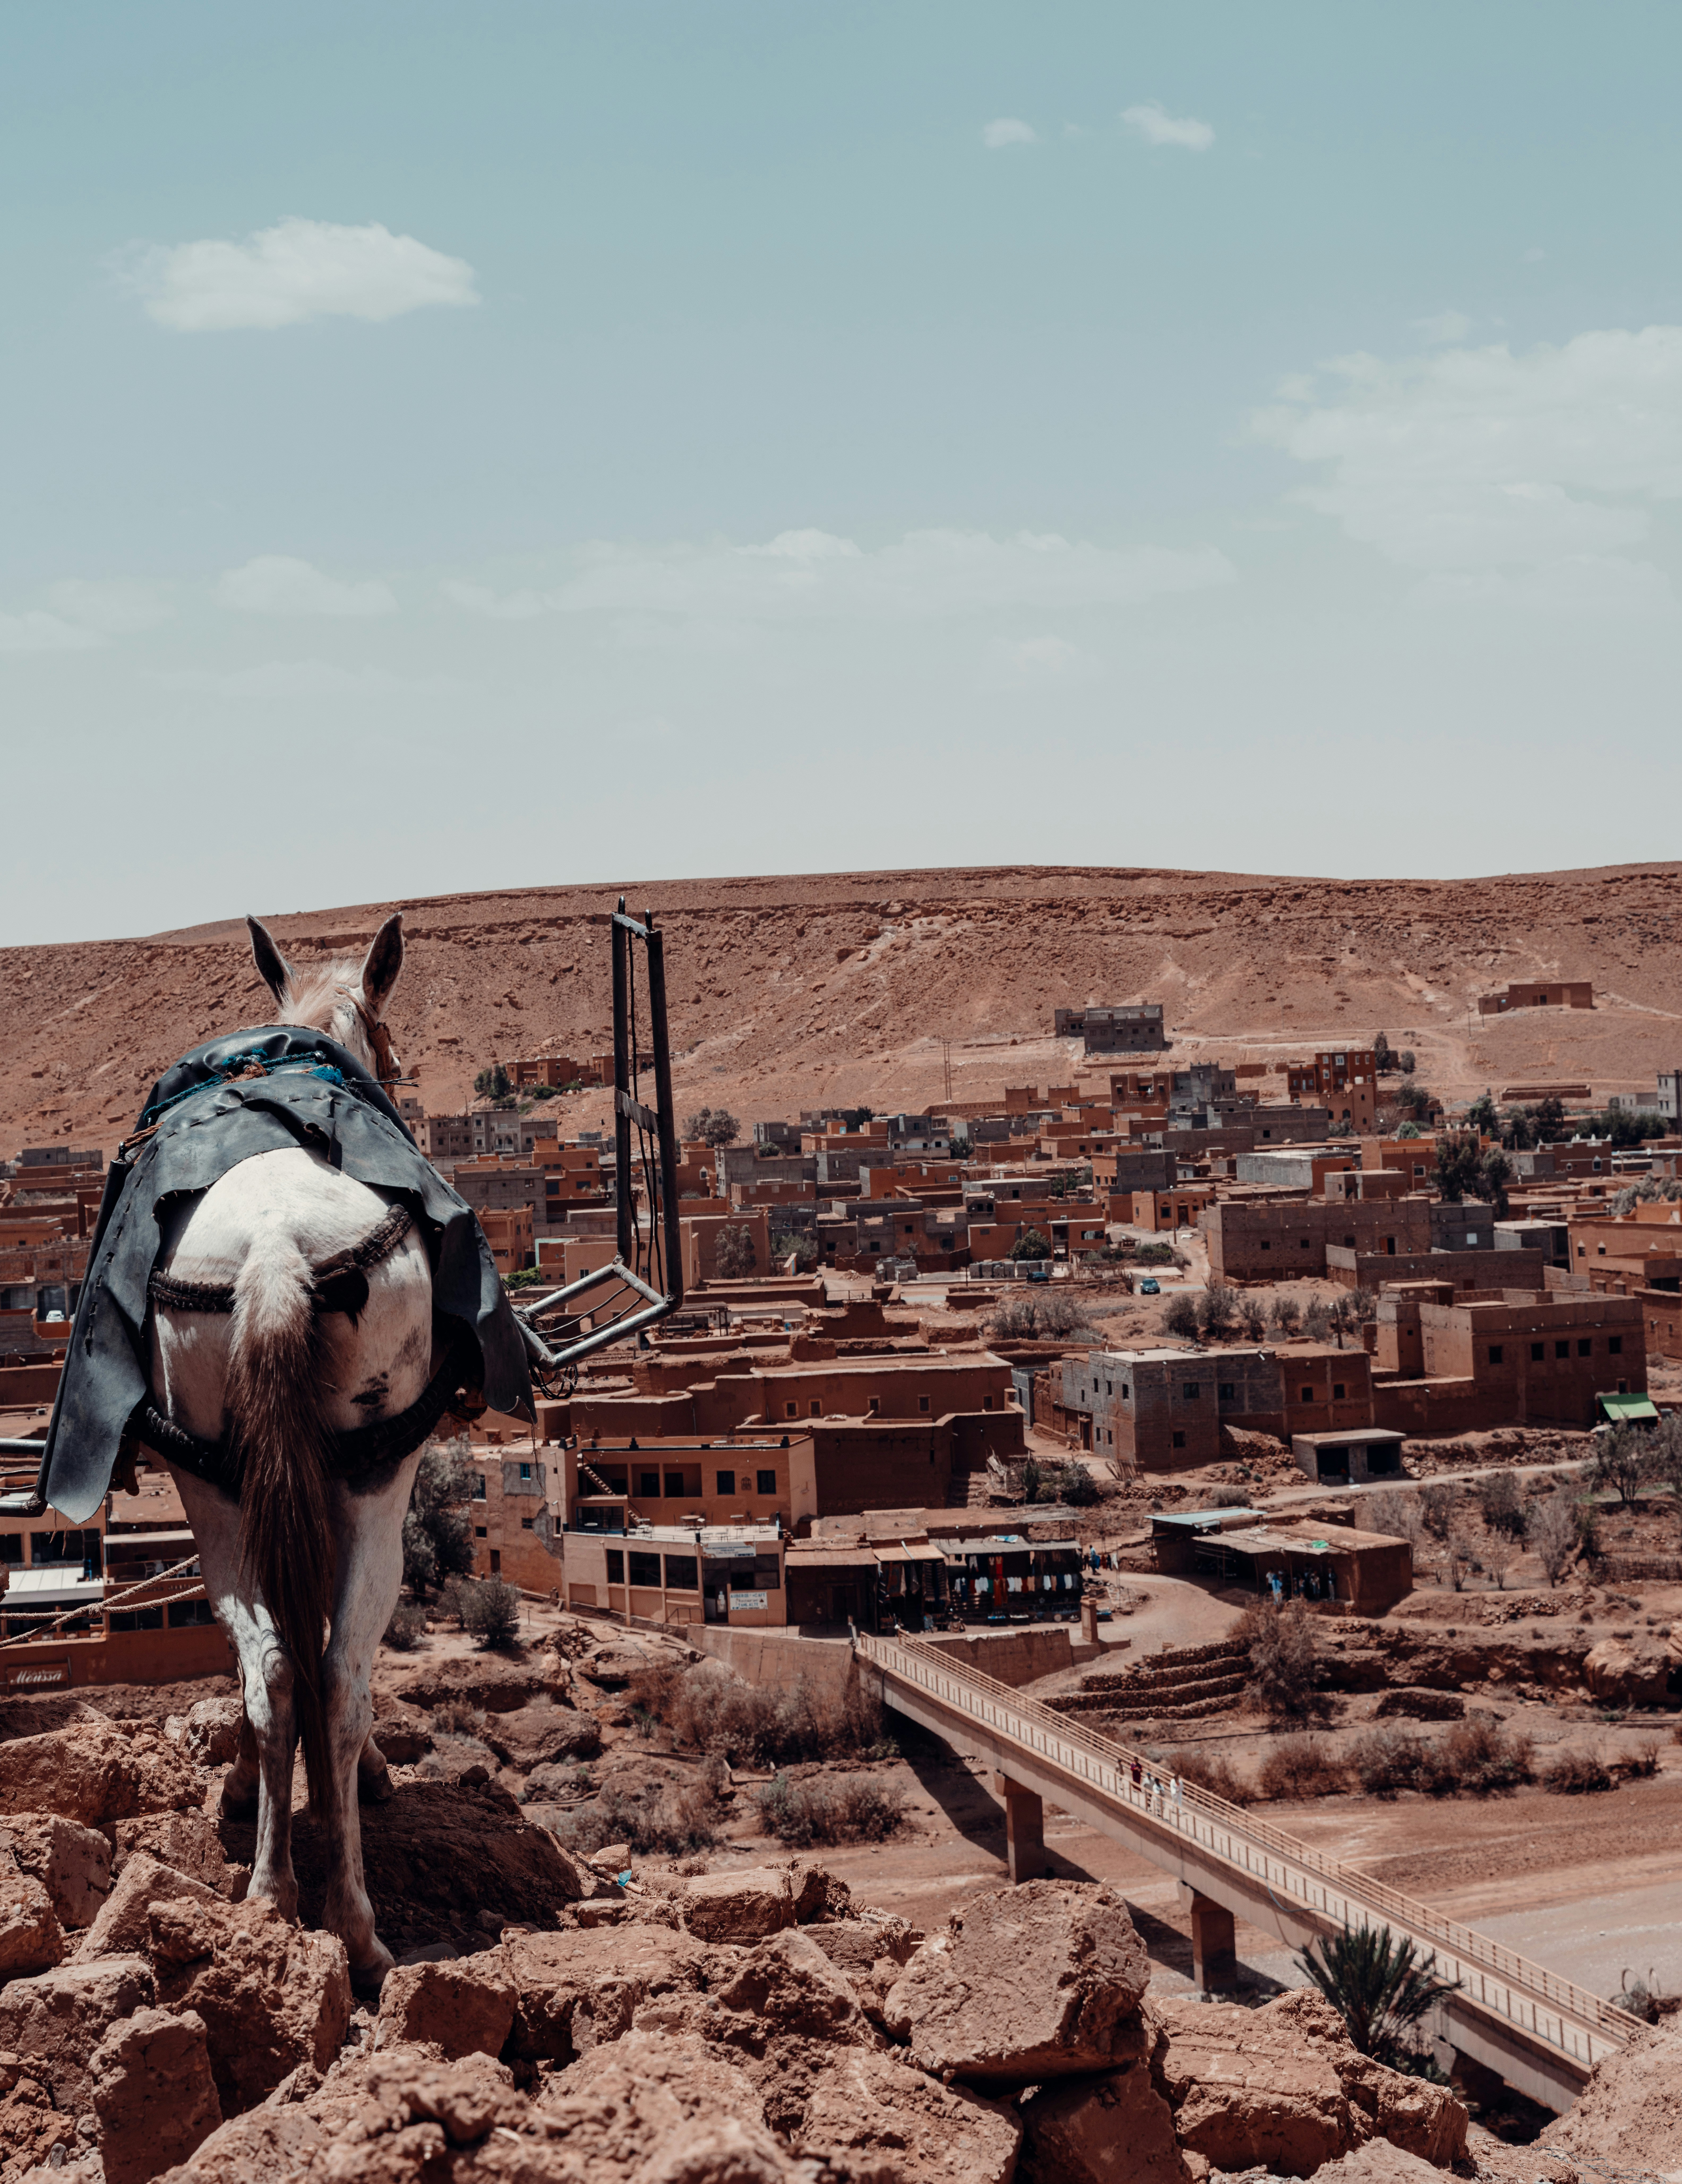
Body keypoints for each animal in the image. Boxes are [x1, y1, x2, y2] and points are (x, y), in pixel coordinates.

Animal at [144, 910, 434, 1992]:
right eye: (389, 1038)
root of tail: (272, 1250)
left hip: (211, 1477)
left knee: (270, 1663)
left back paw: (272, 1897)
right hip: (377, 1476)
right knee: (340, 1673)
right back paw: (353, 1923)